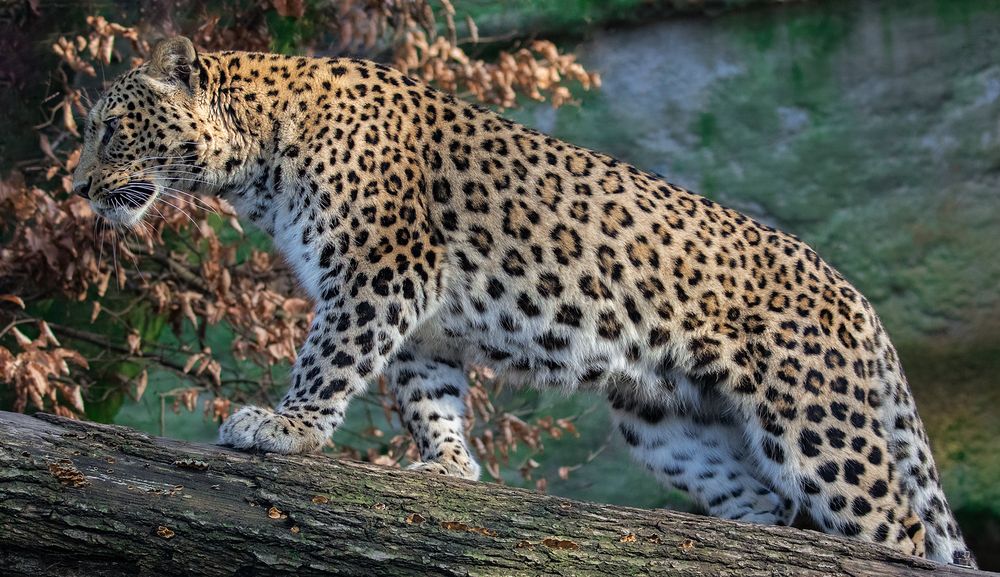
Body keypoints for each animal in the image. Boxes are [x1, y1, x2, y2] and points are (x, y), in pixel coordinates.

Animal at [72, 36, 975, 567]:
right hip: (669, 422)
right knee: (772, 501)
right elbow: (425, 395)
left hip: (818, 425)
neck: (254, 160)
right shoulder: (423, 321)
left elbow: (329, 357)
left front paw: (284, 427)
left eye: (109, 128)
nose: (76, 187)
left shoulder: (381, 271)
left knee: (897, 525)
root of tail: (856, 297)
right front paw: (448, 467)